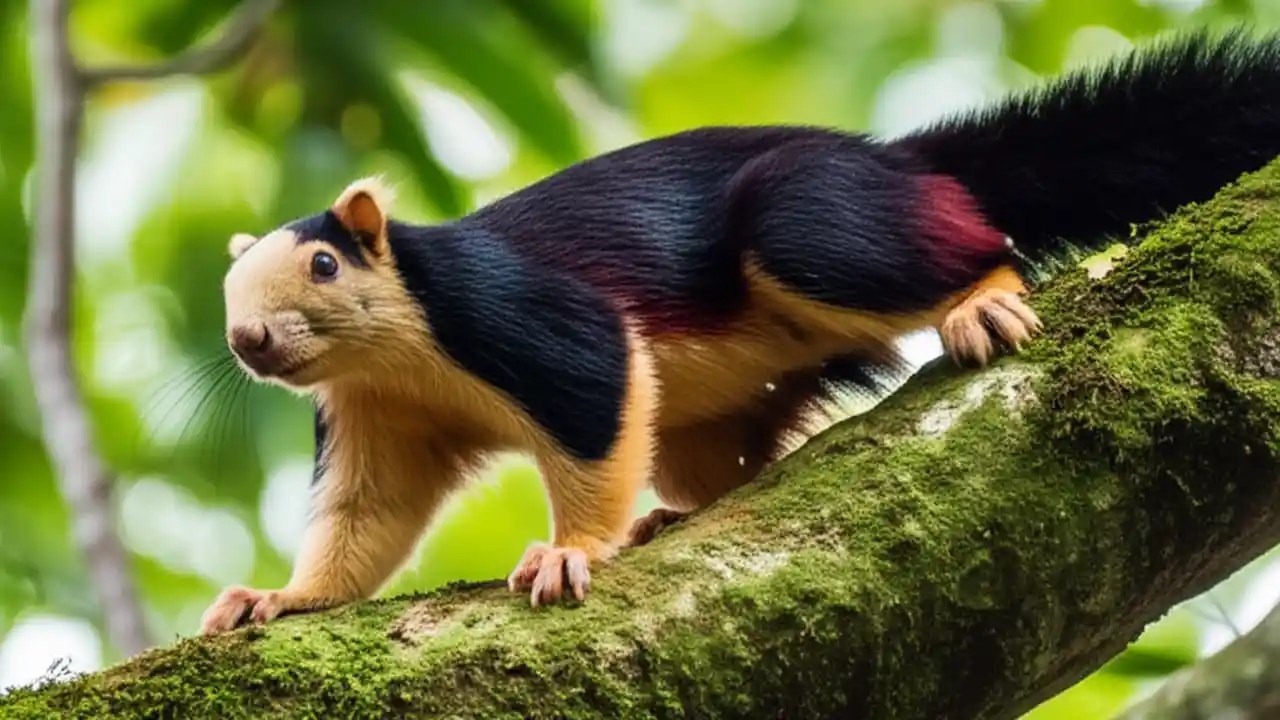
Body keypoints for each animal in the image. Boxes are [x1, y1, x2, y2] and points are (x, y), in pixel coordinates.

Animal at [200, 29, 1280, 633]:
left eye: (325, 264)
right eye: (226, 293)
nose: (251, 341)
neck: (396, 351)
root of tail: (899, 167)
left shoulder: (509, 308)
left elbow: (594, 395)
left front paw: (572, 551)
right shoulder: (371, 415)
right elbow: (366, 521)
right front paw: (281, 599)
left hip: (814, 223)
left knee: (975, 242)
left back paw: (979, 299)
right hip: (710, 415)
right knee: (728, 459)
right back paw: (675, 515)